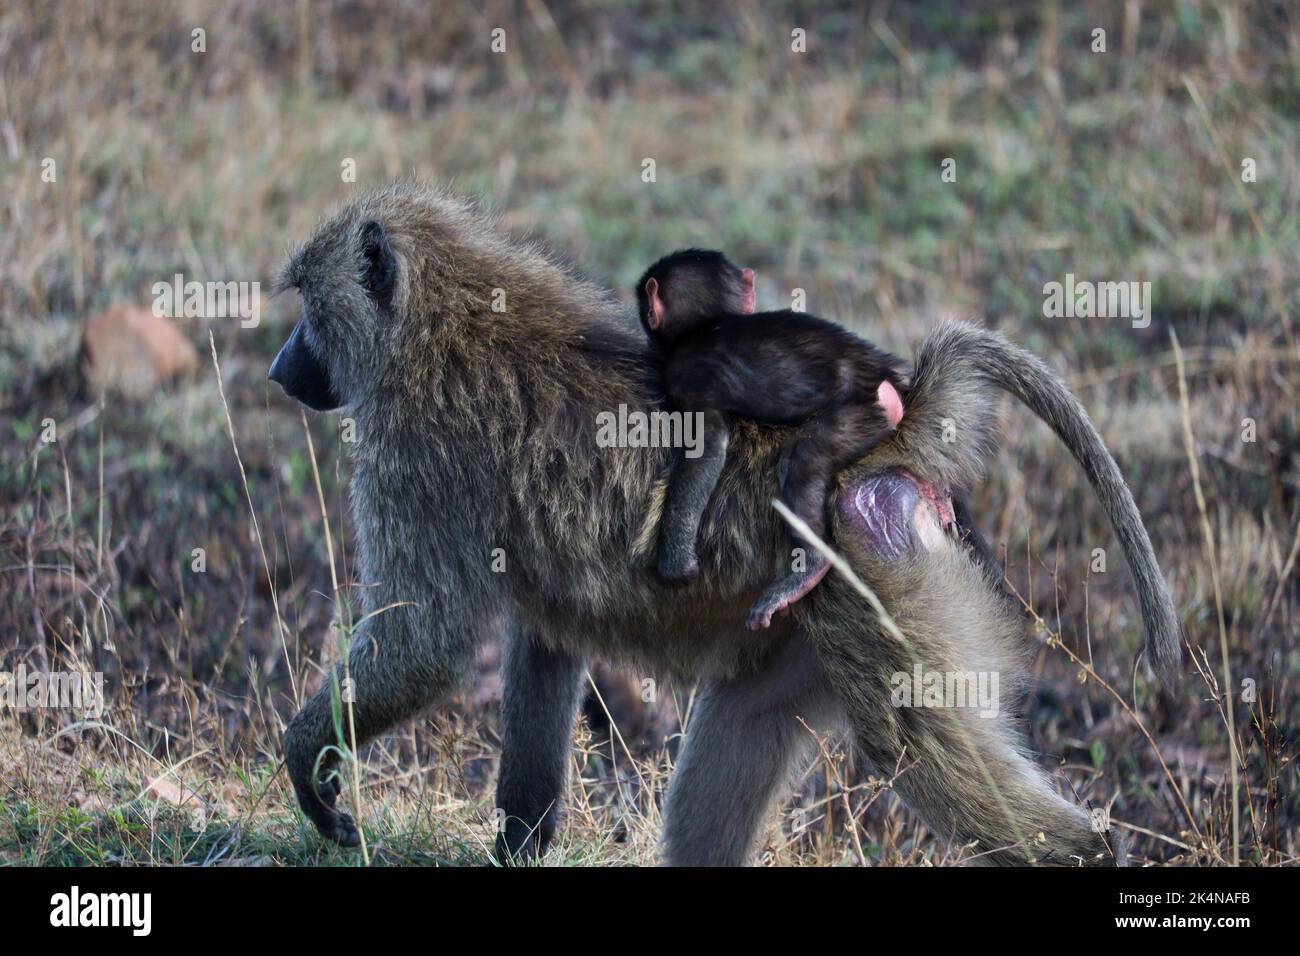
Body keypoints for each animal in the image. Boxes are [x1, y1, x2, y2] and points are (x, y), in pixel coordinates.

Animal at [635, 249, 907, 630]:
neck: (707, 325)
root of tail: (887, 378)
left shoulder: (684, 377)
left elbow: (707, 450)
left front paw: (676, 561)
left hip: (865, 413)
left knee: (802, 460)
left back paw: (809, 567)